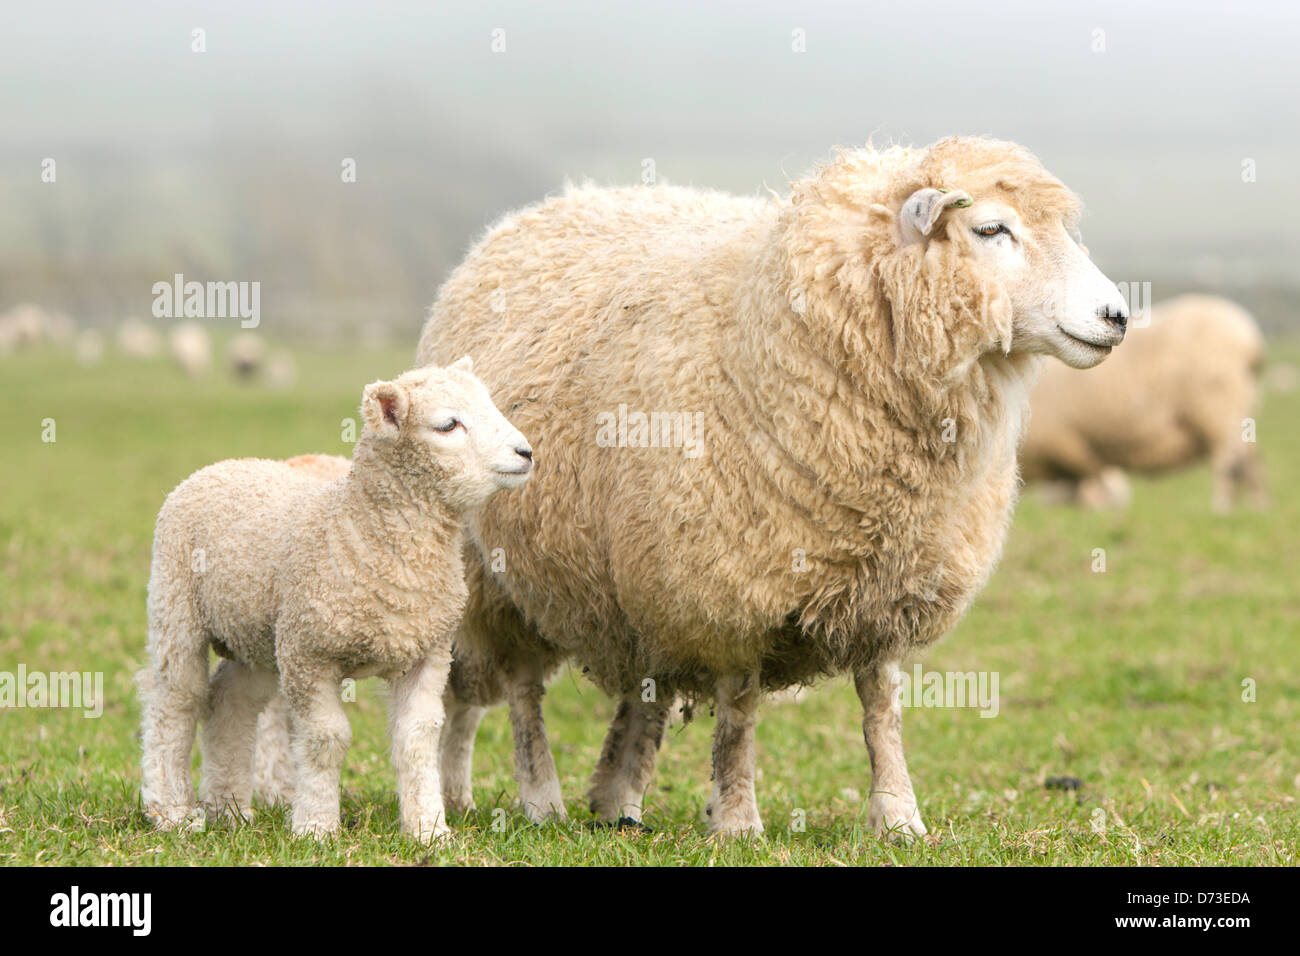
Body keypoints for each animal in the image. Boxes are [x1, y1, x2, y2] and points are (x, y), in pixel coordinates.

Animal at [138, 358, 534, 841]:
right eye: (447, 425)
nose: (525, 453)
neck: (357, 525)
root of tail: (224, 465)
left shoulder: (428, 652)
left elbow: (418, 737)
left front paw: (429, 829)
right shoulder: (310, 656)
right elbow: (327, 739)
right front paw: (316, 827)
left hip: (261, 633)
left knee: (229, 701)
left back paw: (228, 808)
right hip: (176, 602)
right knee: (174, 700)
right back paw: (171, 810)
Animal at [412, 136, 1129, 836]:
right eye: (991, 229)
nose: (1118, 315)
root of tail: (546, 208)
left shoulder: (888, 582)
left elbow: (881, 705)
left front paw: (899, 816)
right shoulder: (729, 582)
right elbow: (738, 711)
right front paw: (737, 820)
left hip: (638, 574)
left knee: (641, 684)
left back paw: (616, 800)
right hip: (501, 579)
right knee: (521, 692)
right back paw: (537, 798)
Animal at [1020, 294, 1267, 513]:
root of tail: (1248, 339)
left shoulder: (1073, 447)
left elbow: (1095, 484)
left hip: (1217, 410)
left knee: (1229, 462)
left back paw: (1223, 508)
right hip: (1241, 412)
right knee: (1251, 461)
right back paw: (1258, 507)